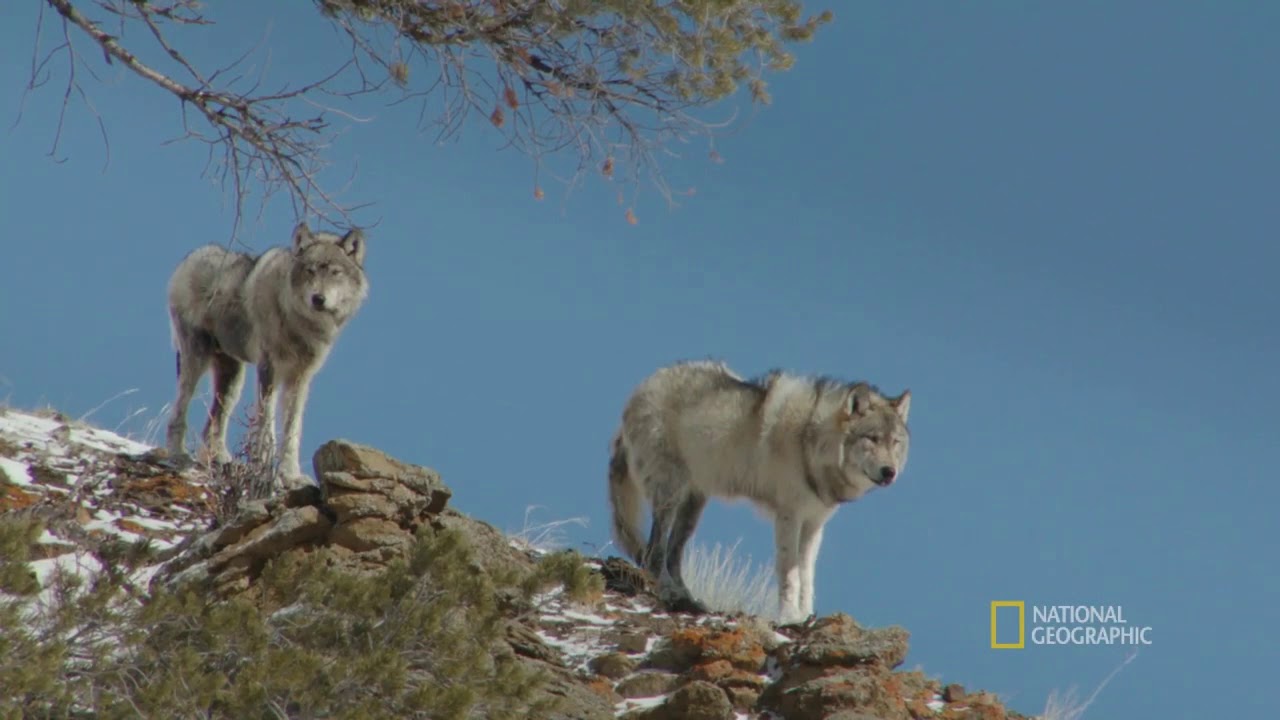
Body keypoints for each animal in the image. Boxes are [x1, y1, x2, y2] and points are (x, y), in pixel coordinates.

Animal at [163, 222, 369, 490]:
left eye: (336, 272)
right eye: (310, 271)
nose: (318, 299)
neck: (298, 323)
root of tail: (189, 257)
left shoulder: (299, 379)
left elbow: (292, 430)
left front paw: (290, 475)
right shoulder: (268, 368)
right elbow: (266, 425)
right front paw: (264, 469)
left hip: (232, 380)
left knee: (212, 426)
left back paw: (220, 460)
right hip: (196, 360)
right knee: (179, 409)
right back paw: (177, 454)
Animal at [608, 360, 910, 626]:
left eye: (895, 442)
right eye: (872, 438)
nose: (889, 472)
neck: (809, 441)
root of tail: (638, 391)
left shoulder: (813, 525)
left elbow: (806, 577)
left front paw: (806, 615)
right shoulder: (788, 516)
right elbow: (790, 575)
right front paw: (790, 618)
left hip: (692, 510)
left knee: (673, 556)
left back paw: (688, 599)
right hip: (669, 497)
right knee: (653, 553)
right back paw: (669, 592)